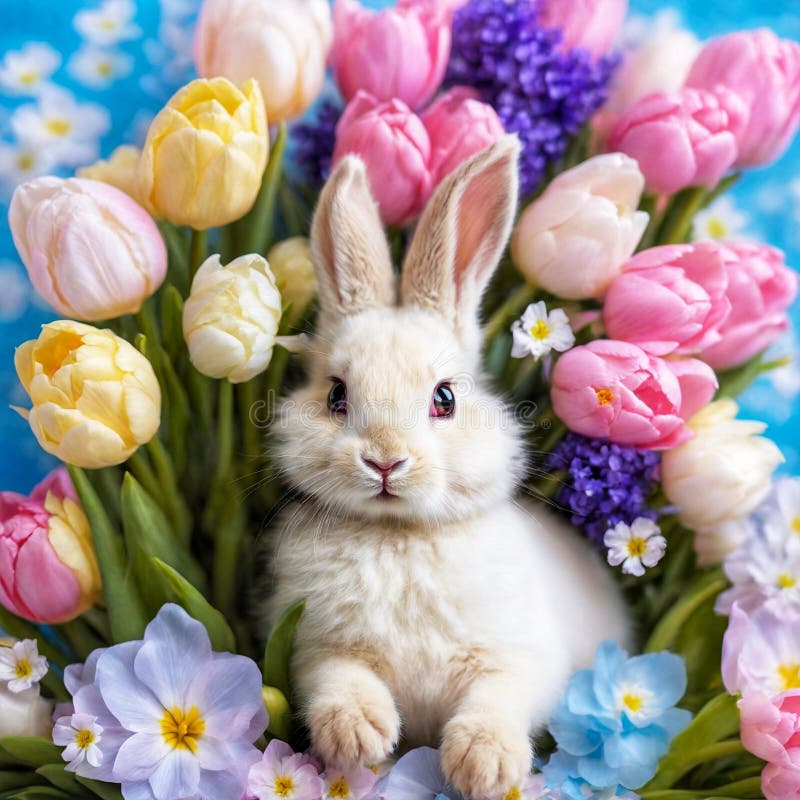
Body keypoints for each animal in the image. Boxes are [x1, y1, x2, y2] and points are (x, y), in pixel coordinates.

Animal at [262, 136, 631, 800]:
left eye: (445, 398)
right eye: (336, 395)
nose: (385, 460)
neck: (399, 535)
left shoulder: (519, 658)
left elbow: (498, 699)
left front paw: (484, 765)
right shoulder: (315, 647)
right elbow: (338, 679)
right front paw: (358, 736)